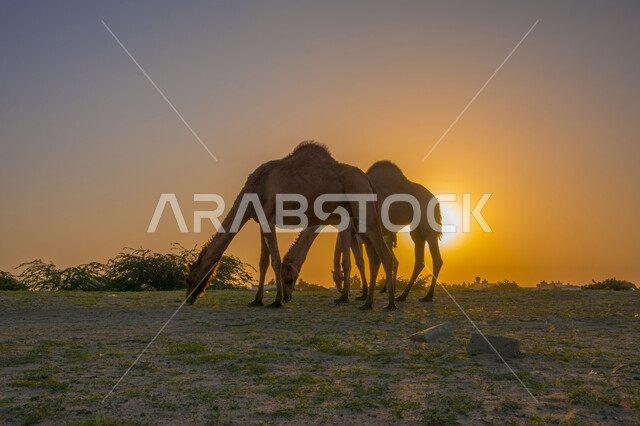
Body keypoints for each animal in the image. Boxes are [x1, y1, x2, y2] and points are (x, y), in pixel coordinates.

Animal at [185, 142, 399, 309]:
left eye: (189, 279)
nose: (188, 298)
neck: (252, 189)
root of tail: (368, 181)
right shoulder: (262, 221)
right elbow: (263, 261)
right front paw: (257, 300)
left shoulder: (270, 218)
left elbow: (275, 260)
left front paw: (276, 300)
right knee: (374, 256)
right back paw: (368, 302)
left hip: (361, 204)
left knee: (383, 254)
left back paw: (389, 303)